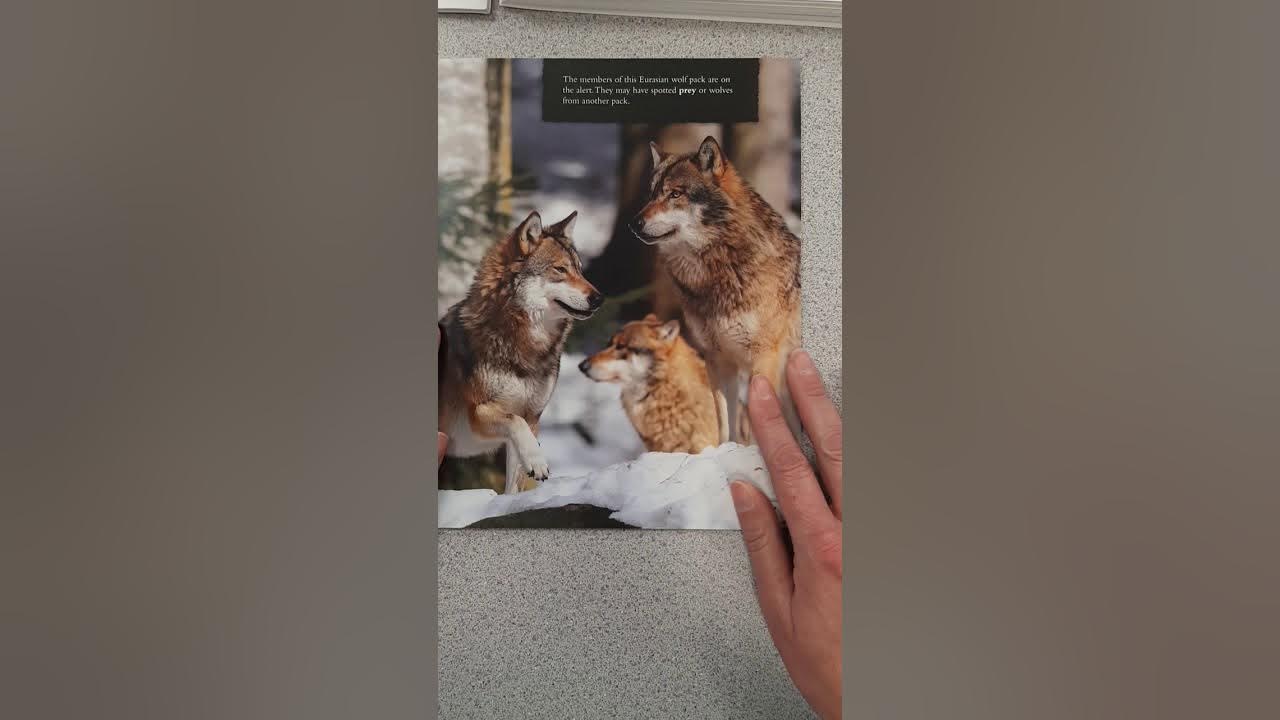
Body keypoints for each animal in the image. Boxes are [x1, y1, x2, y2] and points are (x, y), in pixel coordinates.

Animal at [439, 210, 603, 494]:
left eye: (580, 270)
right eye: (560, 269)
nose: (599, 298)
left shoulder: (532, 418)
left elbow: (515, 481)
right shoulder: (479, 416)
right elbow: (516, 422)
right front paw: (537, 462)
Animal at [630, 135, 802, 442]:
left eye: (675, 194)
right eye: (651, 194)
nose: (633, 224)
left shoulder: (764, 357)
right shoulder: (718, 359)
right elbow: (725, 423)